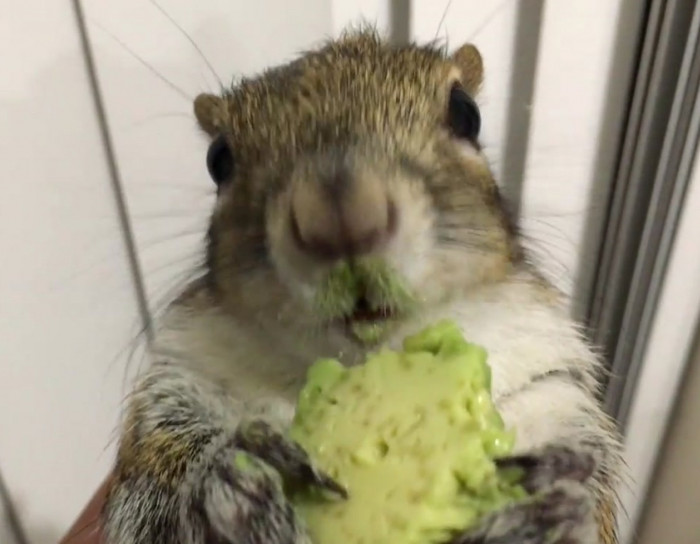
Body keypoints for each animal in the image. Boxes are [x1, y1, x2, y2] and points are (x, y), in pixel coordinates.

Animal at [102, 28, 624, 544]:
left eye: (466, 113)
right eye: (219, 160)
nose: (339, 217)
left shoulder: (554, 388)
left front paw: (549, 499)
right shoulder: (178, 383)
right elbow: (150, 495)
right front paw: (227, 476)